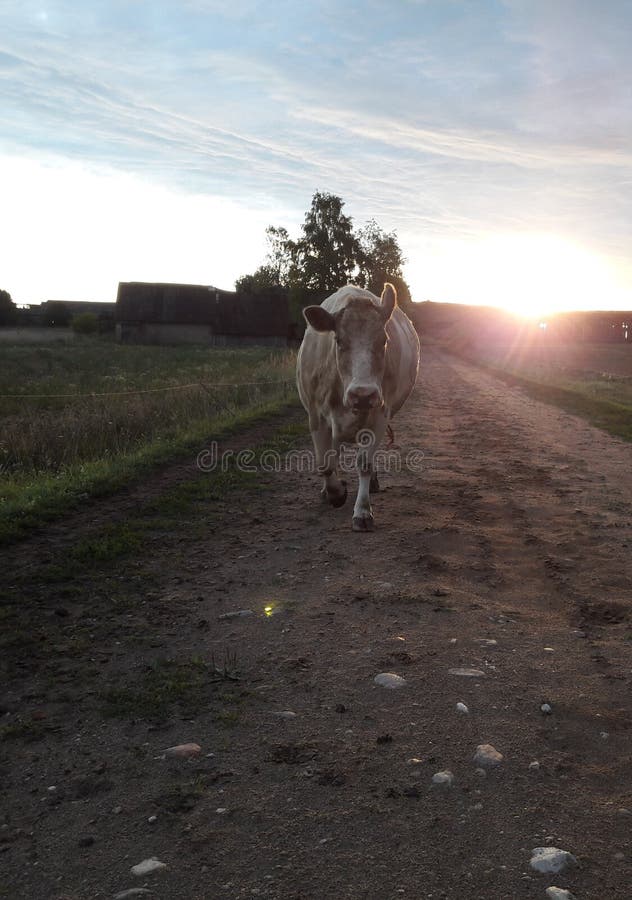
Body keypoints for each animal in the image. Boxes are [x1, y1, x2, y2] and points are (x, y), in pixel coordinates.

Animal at [296, 283, 420, 531]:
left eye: (383, 340)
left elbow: (364, 463)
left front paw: (362, 511)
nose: (362, 394)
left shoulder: (379, 415)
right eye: (339, 341)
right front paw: (335, 493)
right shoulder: (316, 417)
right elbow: (325, 462)